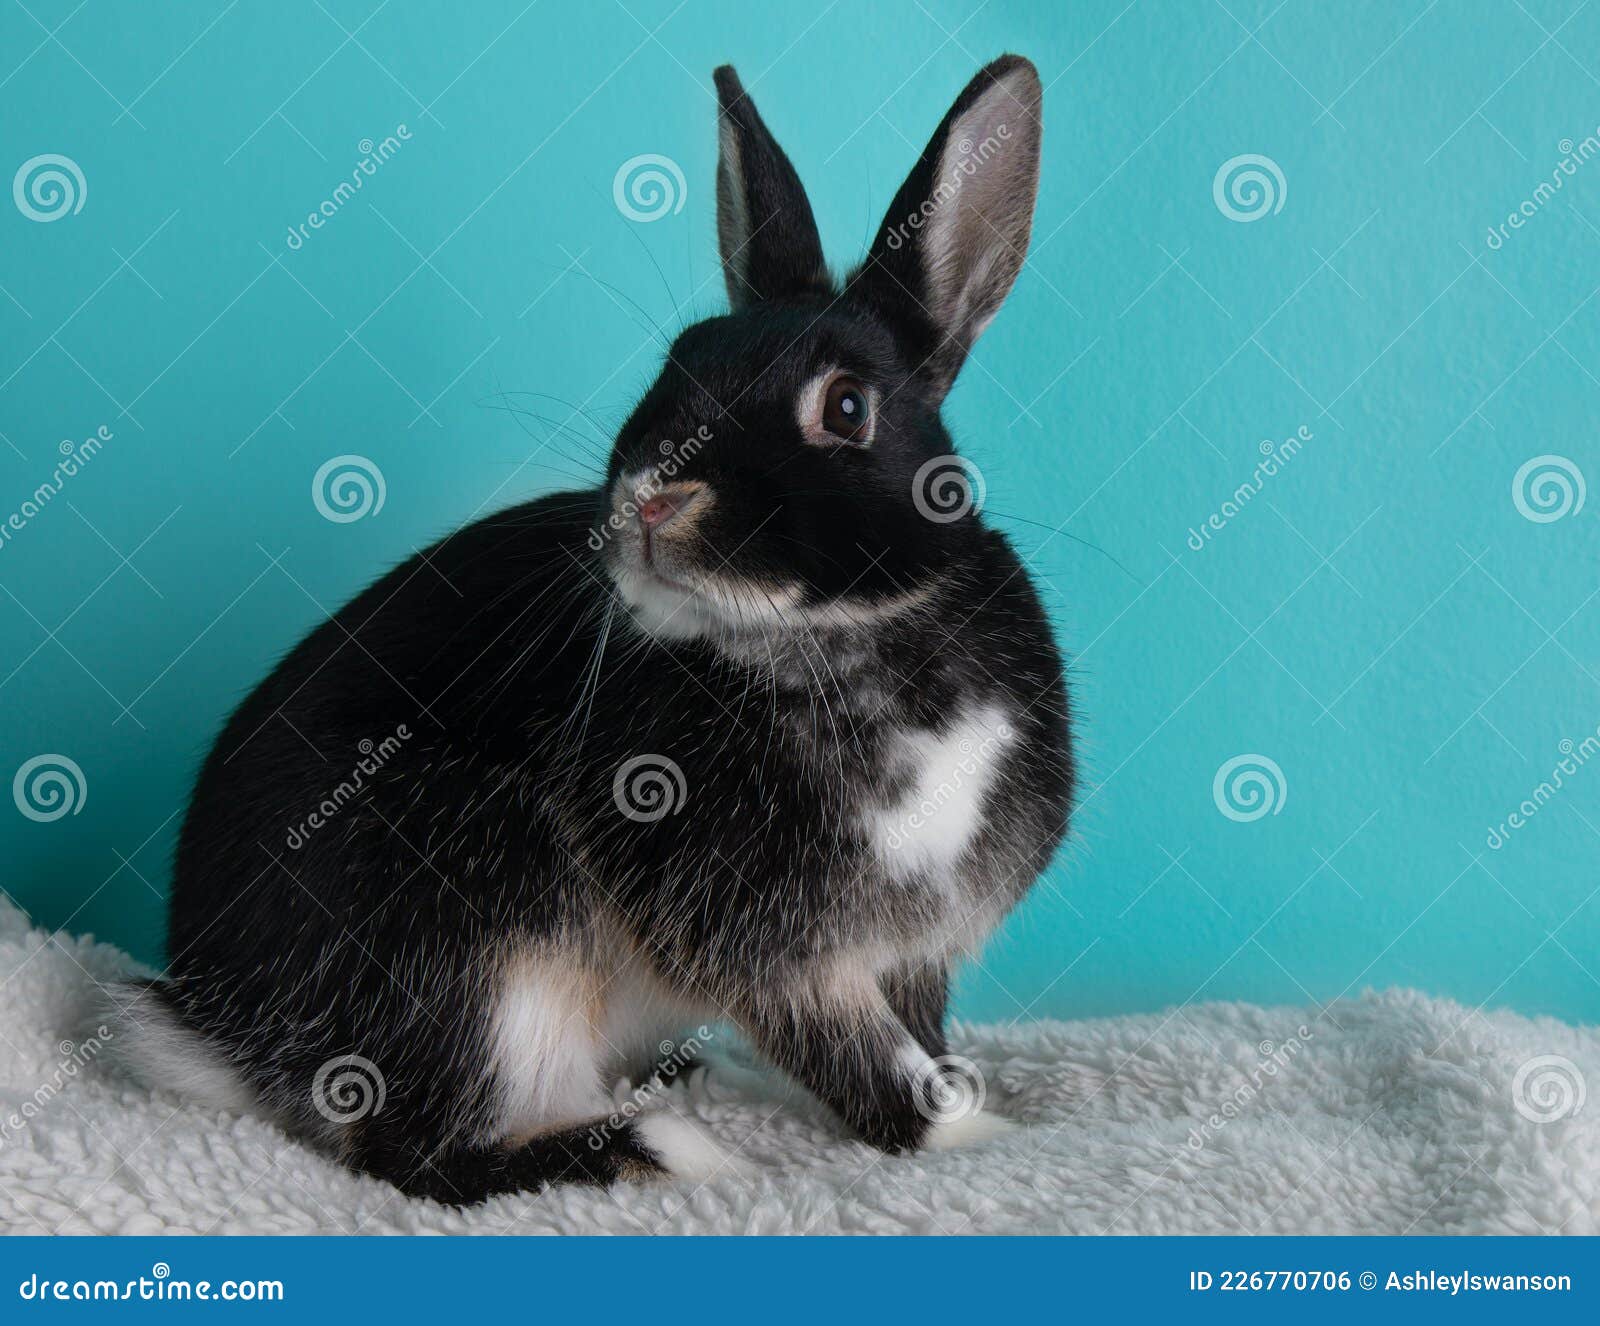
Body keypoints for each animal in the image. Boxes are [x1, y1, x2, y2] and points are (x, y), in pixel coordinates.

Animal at [109, 54, 1073, 1206]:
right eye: (677, 364)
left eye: (846, 409)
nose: (652, 498)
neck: (843, 636)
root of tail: (231, 1036)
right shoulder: (768, 948)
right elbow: (864, 1056)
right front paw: (978, 1137)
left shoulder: (912, 951)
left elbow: (915, 1036)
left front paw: (971, 1101)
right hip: (468, 932)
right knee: (416, 1157)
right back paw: (665, 1150)